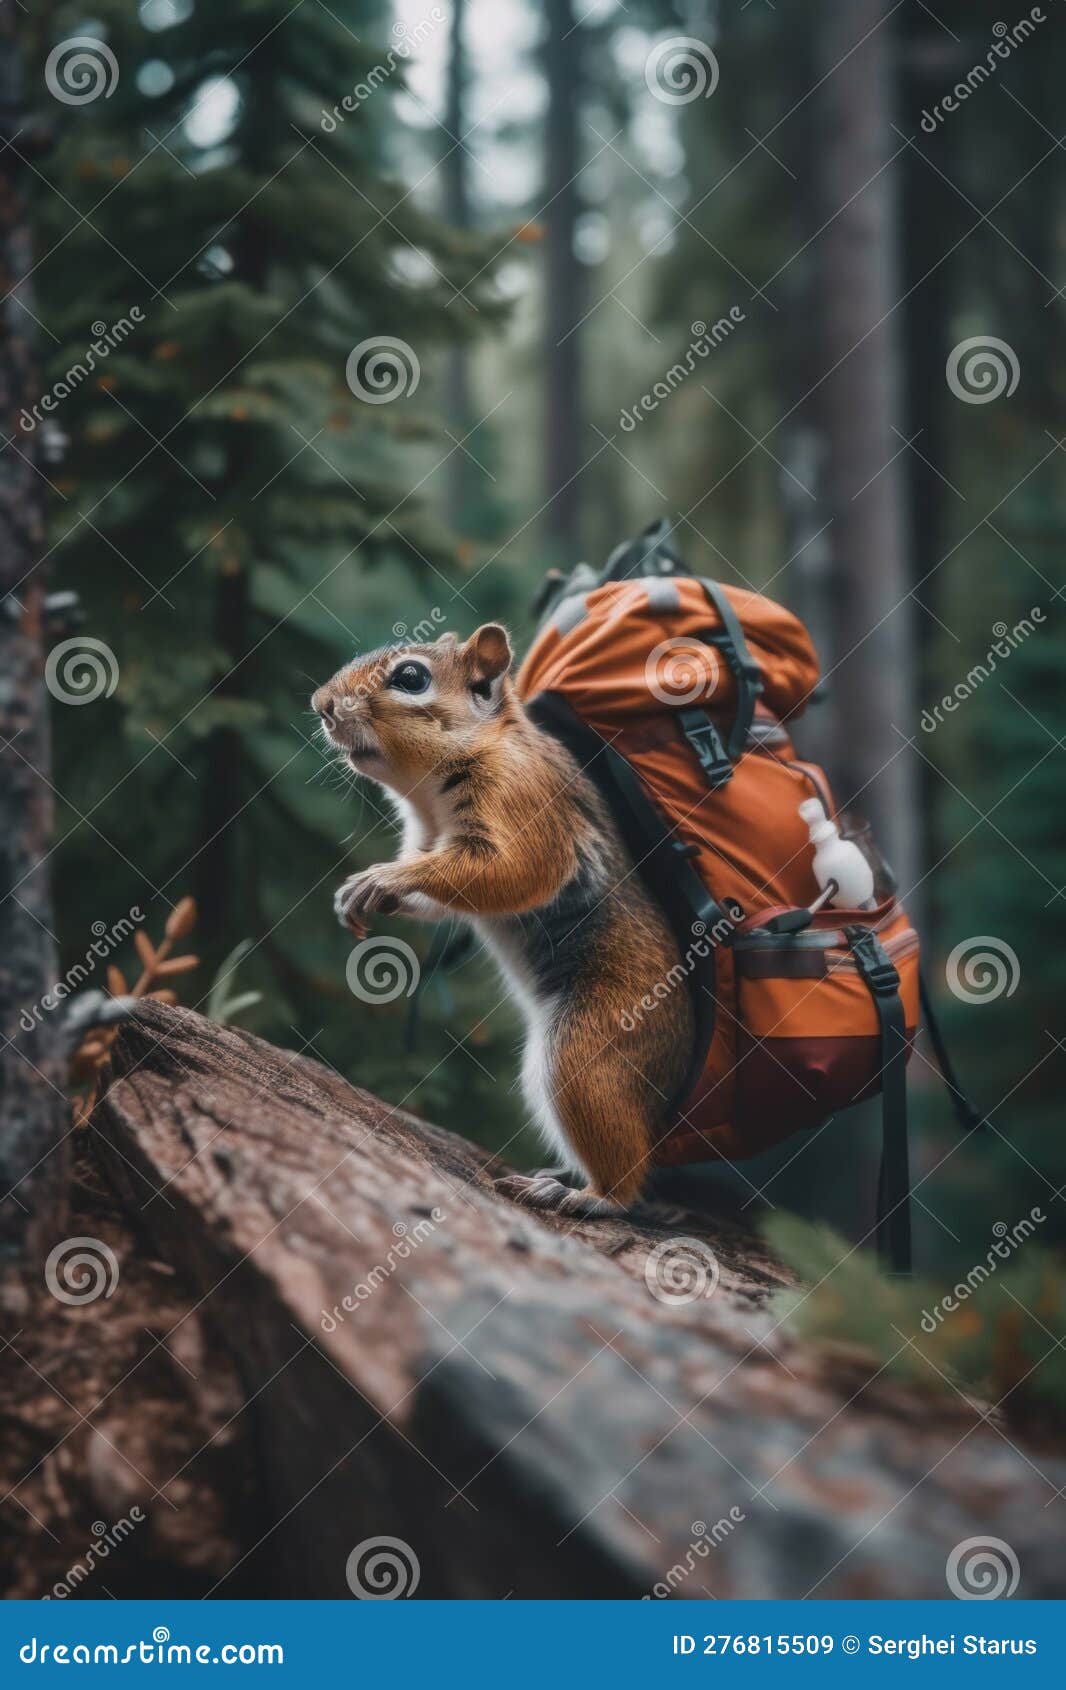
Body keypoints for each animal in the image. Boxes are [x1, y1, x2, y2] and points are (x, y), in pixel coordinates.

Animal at [312, 624, 692, 1219]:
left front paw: (385, 878)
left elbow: (512, 871)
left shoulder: (522, 799)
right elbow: (444, 897)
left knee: (626, 1179)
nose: (321, 704)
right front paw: (368, 890)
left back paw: (586, 1196)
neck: (430, 793)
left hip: (588, 1050)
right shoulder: (427, 835)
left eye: (411, 677)